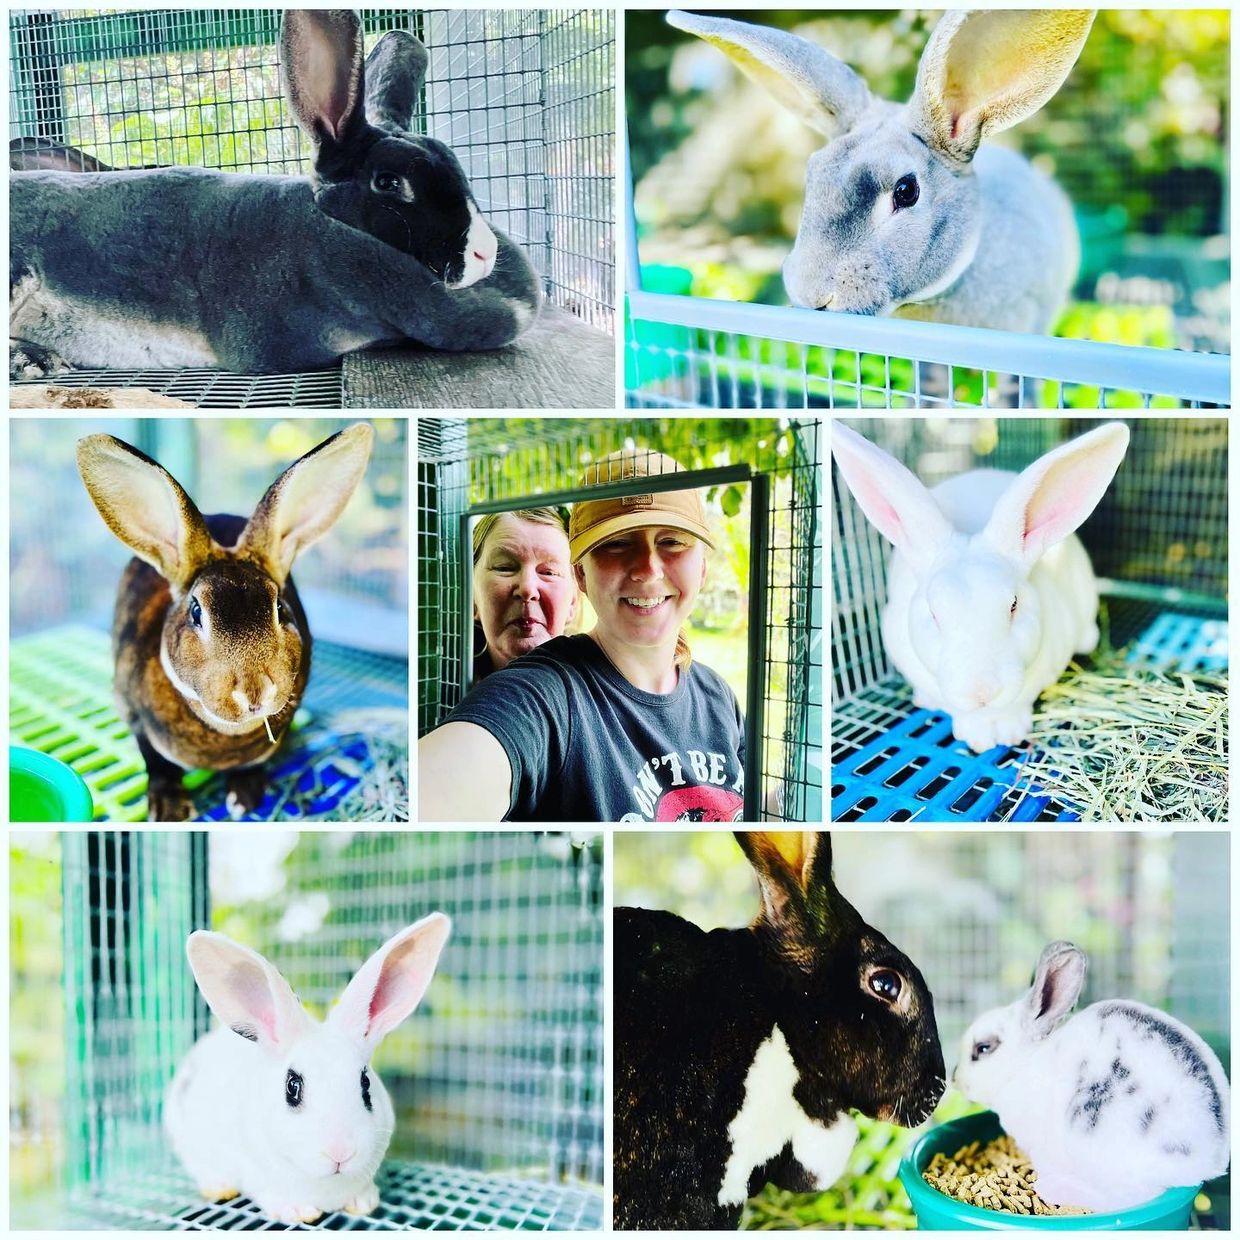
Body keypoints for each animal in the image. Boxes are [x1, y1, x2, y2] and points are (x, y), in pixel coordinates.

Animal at [75, 422, 374, 822]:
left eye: (280, 608)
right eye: (196, 612)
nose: (255, 693)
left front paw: (244, 798)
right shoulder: (134, 715)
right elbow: (157, 762)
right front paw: (169, 809)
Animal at [954, 941, 1230, 1211]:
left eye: (984, 1048)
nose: (955, 1078)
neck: (1027, 1063)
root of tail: (1209, 1157)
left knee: (1128, 1198)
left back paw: (1055, 1188)